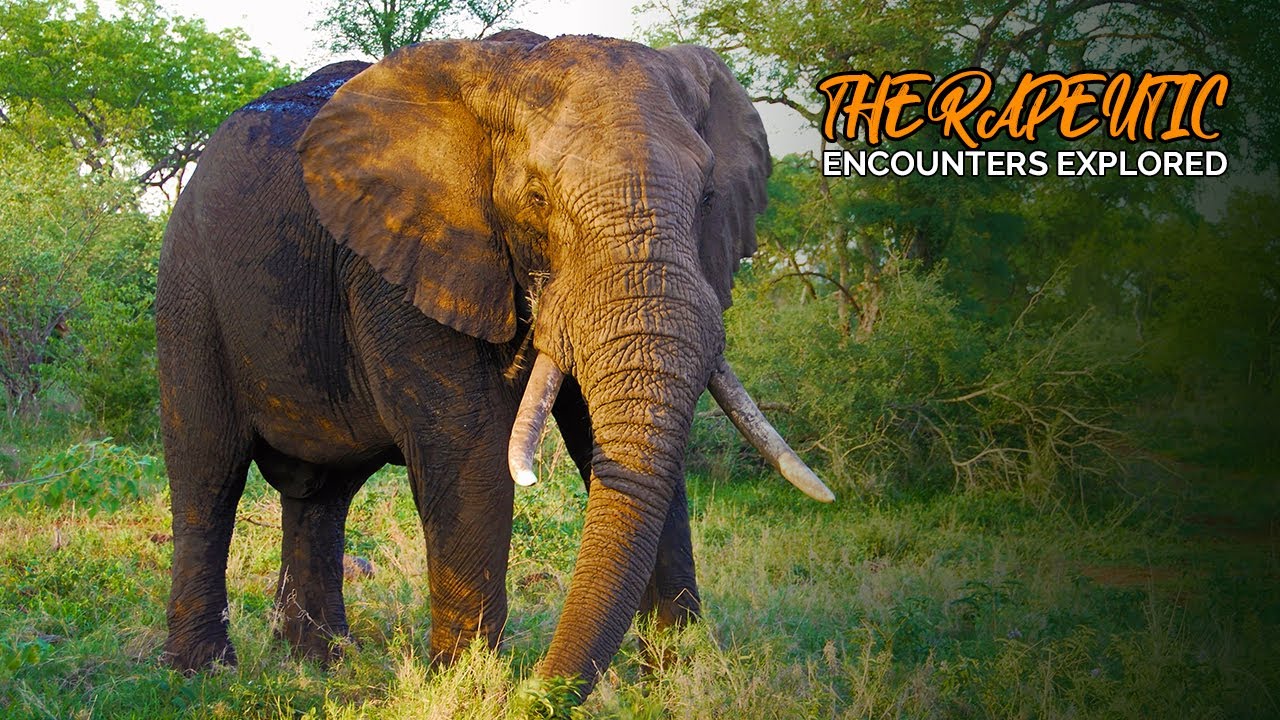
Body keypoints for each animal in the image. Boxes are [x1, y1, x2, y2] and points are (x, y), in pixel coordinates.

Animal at [155, 29, 832, 698]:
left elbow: (614, 449)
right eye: (536, 197)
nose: (543, 692)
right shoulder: (403, 262)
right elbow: (471, 449)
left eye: (710, 196)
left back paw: (321, 664)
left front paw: (675, 685)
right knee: (207, 471)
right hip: (189, 286)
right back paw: (204, 674)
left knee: (322, 492)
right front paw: (468, 690)